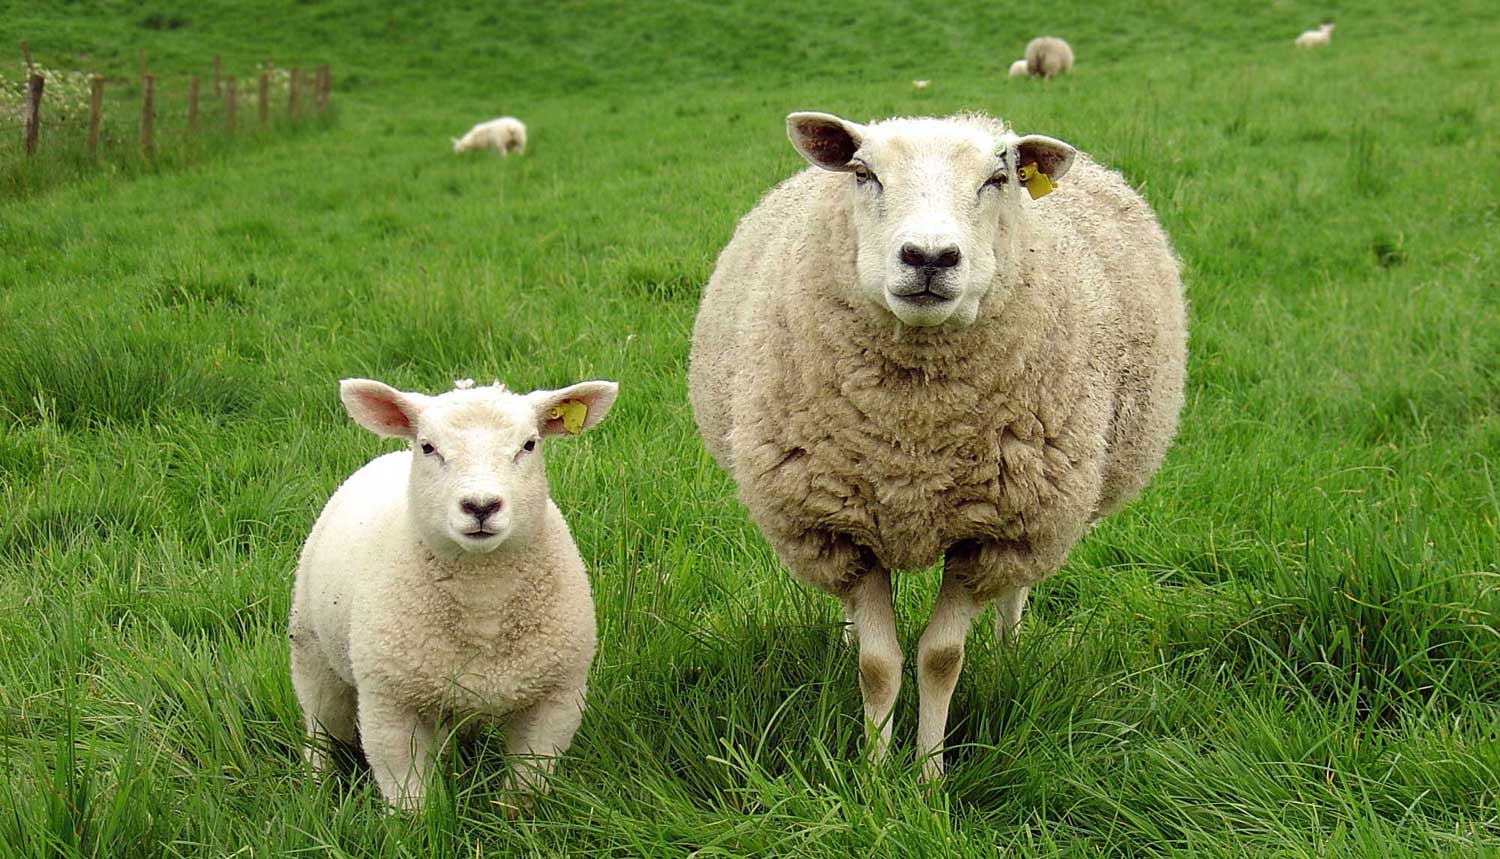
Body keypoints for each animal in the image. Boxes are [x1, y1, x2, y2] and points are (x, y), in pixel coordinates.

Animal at [289, 376, 618, 811]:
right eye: (429, 447)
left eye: (529, 444)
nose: (481, 505)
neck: (483, 596)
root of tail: (391, 455)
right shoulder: (389, 704)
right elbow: (410, 797)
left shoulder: (556, 698)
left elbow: (526, 787)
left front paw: (514, 818)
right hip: (311, 651)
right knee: (319, 730)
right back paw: (316, 788)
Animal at [688, 111, 1186, 780]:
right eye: (863, 173)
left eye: (999, 178)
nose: (929, 256)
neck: (915, 441)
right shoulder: (839, 531)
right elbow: (878, 665)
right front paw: (875, 777)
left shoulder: (993, 535)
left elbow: (940, 659)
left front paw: (927, 777)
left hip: (1041, 515)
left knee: (1014, 595)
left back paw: (1007, 652)